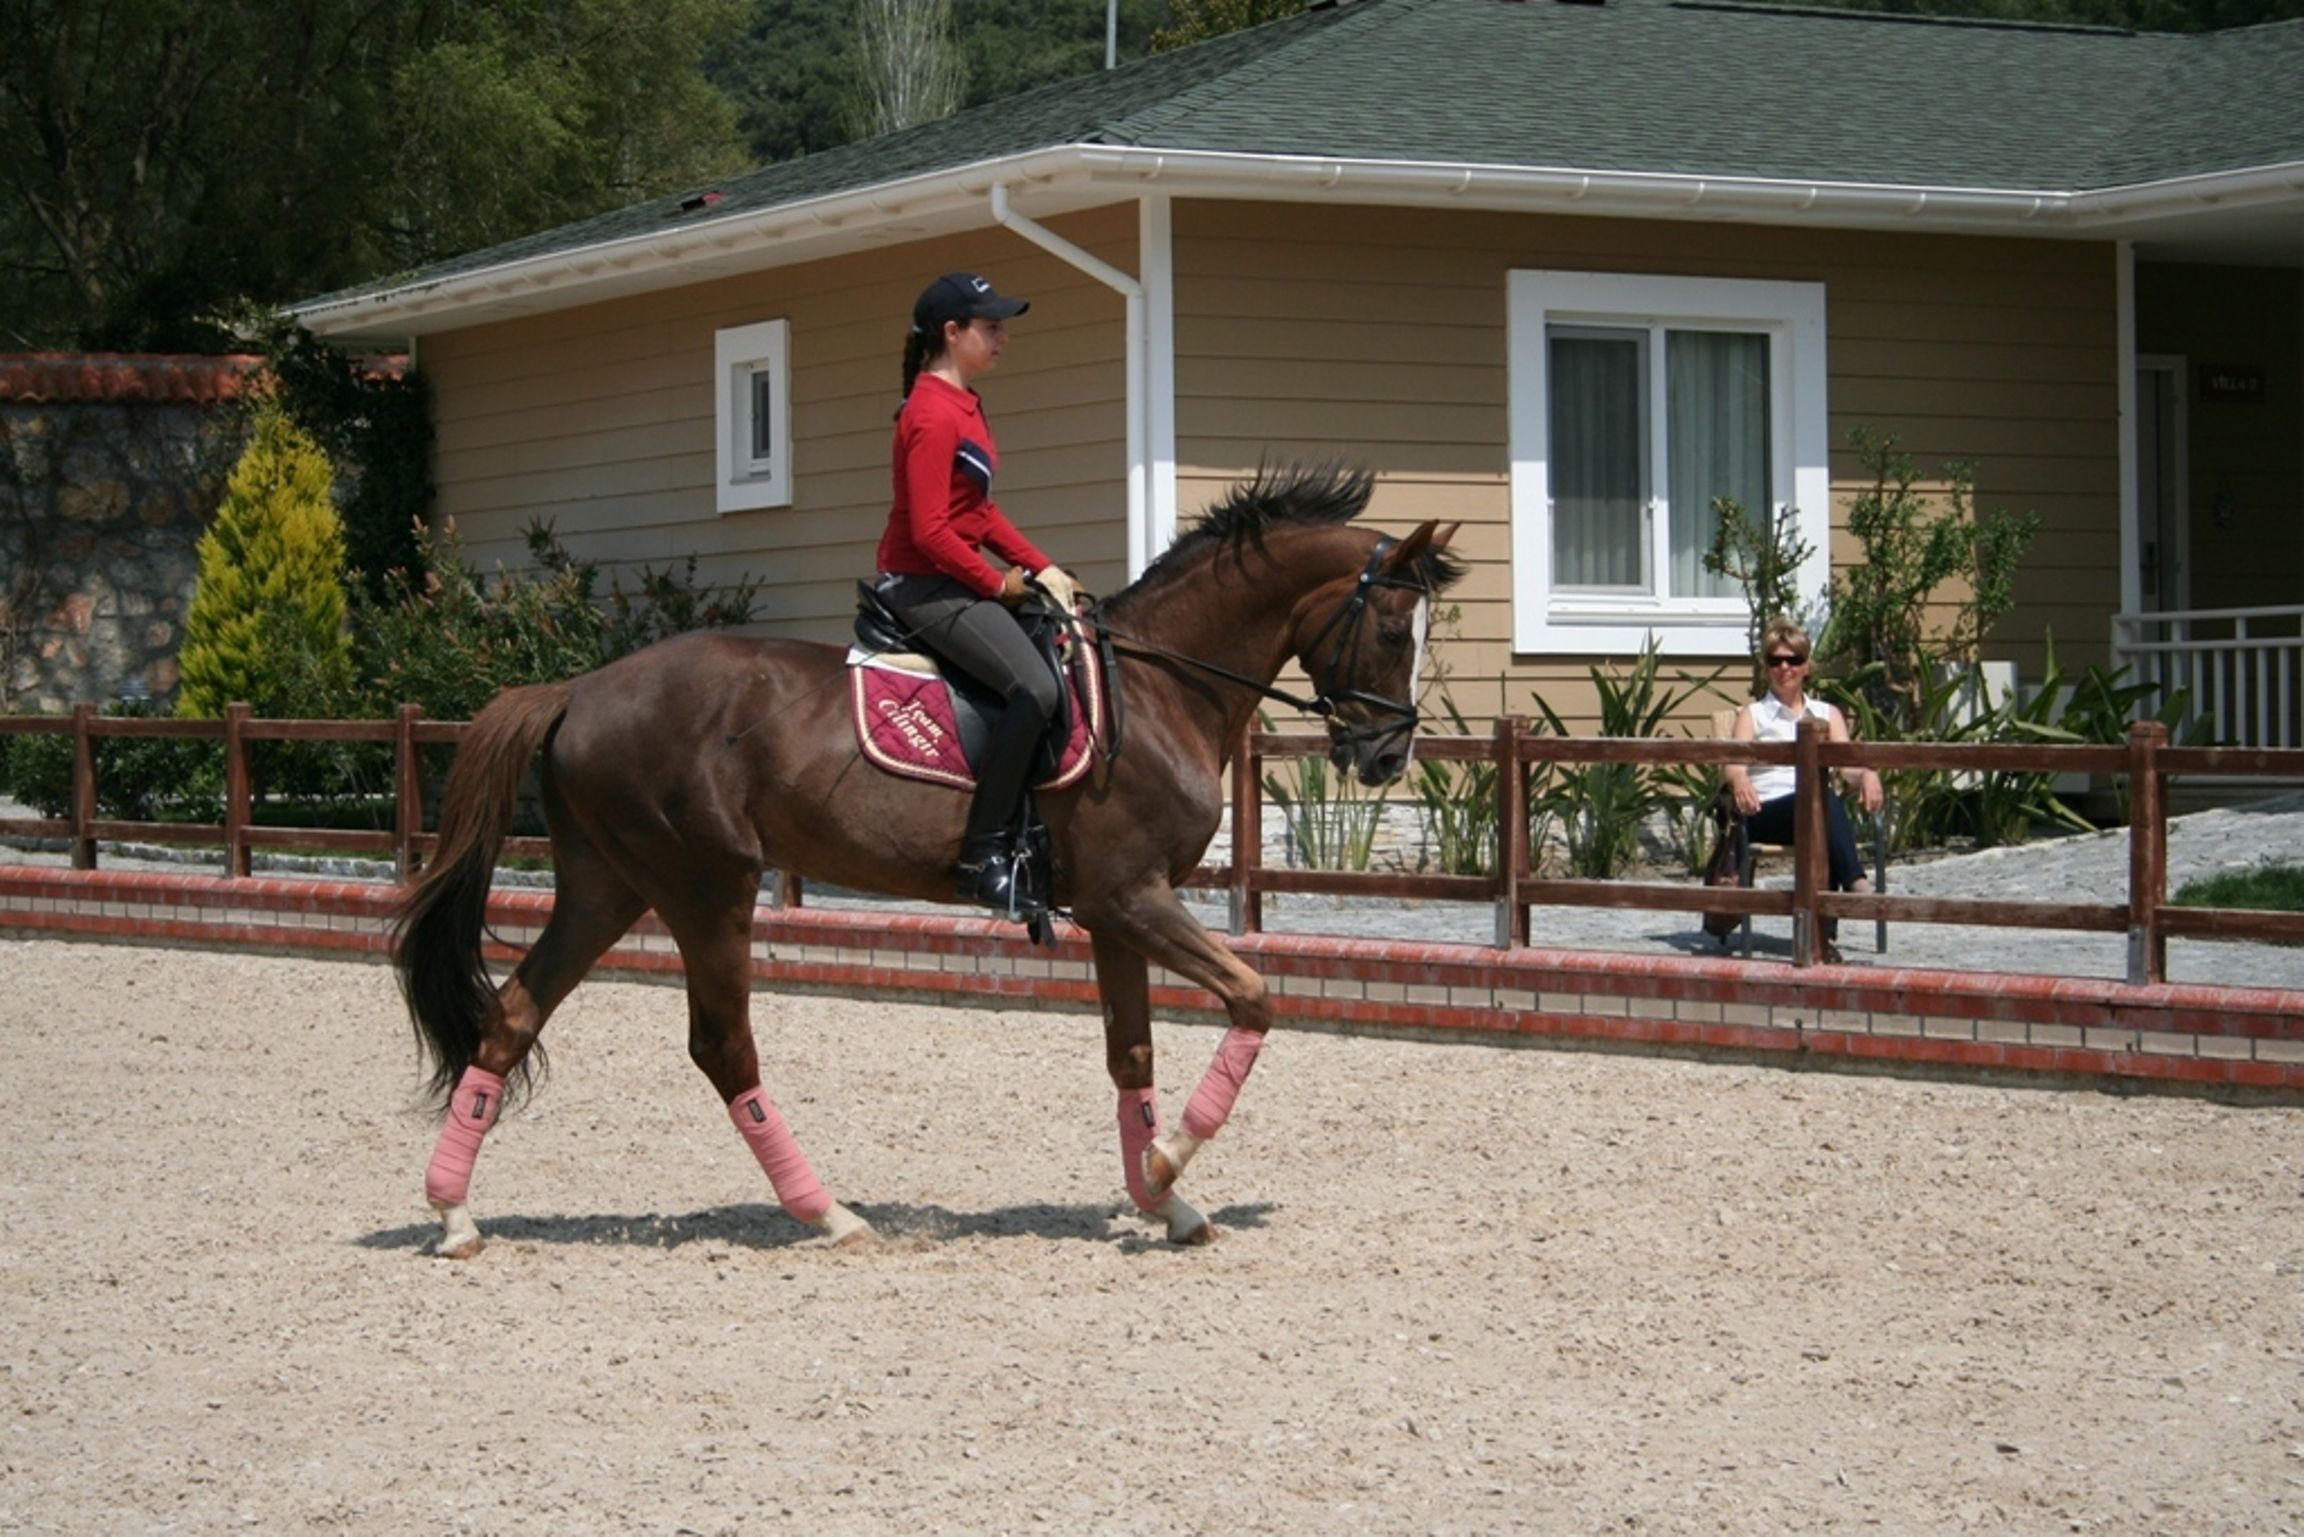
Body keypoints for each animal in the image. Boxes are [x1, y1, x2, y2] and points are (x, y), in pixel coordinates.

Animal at [396, 463, 1463, 1255]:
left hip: (608, 886)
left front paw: (1166, 1200)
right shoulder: (1134, 897)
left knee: (513, 1015)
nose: (1388, 756)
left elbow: (1132, 1056)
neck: (1163, 686)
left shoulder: (1114, 910)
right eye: (1390, 628)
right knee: (721, 1045)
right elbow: (1253, 997)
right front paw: (1167, 1170)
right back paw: (828, 1212)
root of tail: (577, 689)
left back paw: (453, 1213)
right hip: (706, 888)